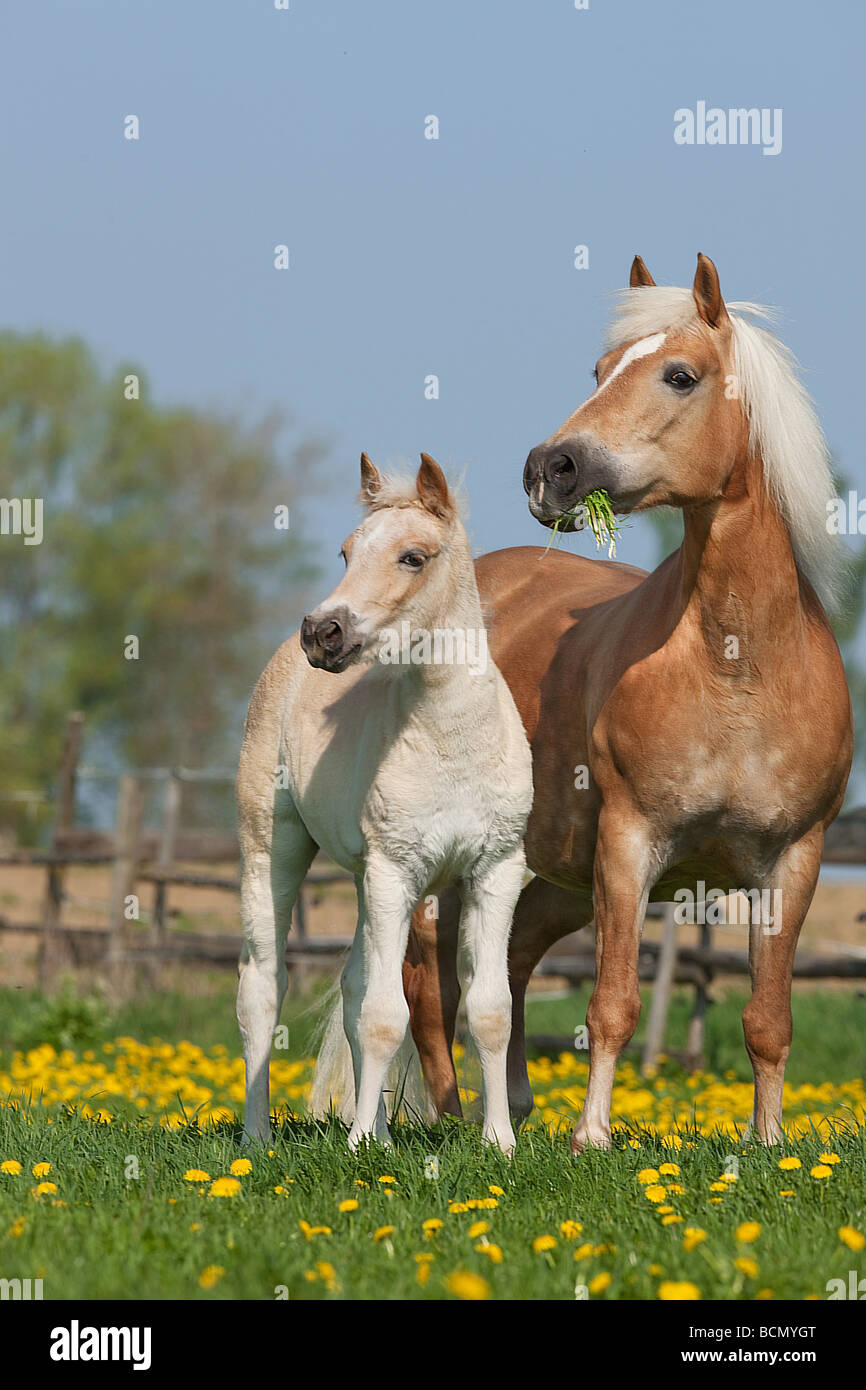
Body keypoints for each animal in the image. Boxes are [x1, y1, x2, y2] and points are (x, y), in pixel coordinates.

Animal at [236, 452, 532, 1153]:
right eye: (346, 552)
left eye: (413, 557)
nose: (323, 632)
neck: (452, 744)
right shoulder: (396, 872)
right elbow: (383, 1015)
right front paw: (360, 1147)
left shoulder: (494, 871)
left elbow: (490, 1009)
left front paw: (499, 1142)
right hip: (272, 848)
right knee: (263, 988)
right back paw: (258, 1138)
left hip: (363, 879)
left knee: (352, 986)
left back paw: (379, 1131)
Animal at [398, 253, 852, 1153]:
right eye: (600, 370)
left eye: (680, 375)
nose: (551, 468)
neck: (739, 668)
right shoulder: (629, 843)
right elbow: (611, 1005)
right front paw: (592, 1138)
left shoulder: (795, 858)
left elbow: (768, 1020)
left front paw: (769, 1142)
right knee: (431, 982)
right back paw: (452, 1121)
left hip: (550, 879)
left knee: (512, 962)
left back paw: (516, 1109)